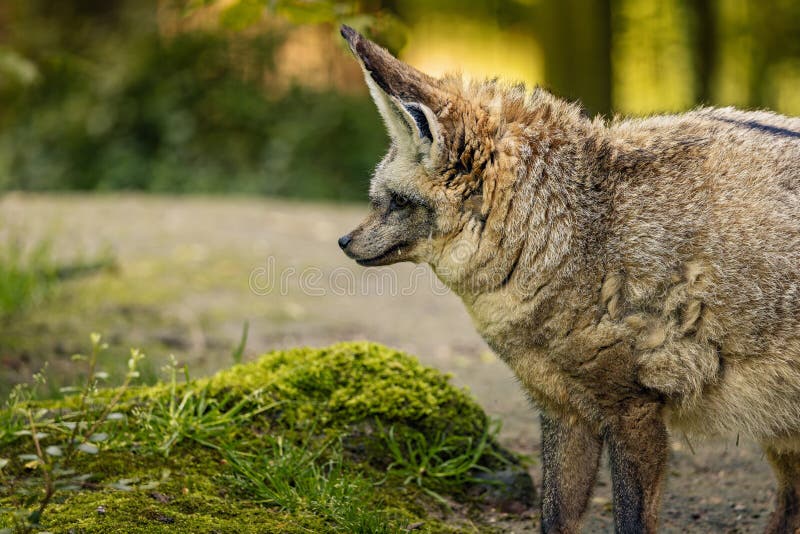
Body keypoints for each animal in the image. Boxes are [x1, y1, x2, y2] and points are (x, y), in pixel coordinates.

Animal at [335, 25, 800, 533]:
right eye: (377, 199)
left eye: (396, 202)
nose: (343, 241)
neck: (572, 236)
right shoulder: (563, 411)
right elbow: (554, 517)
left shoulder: (632, 412)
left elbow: (630, 521)